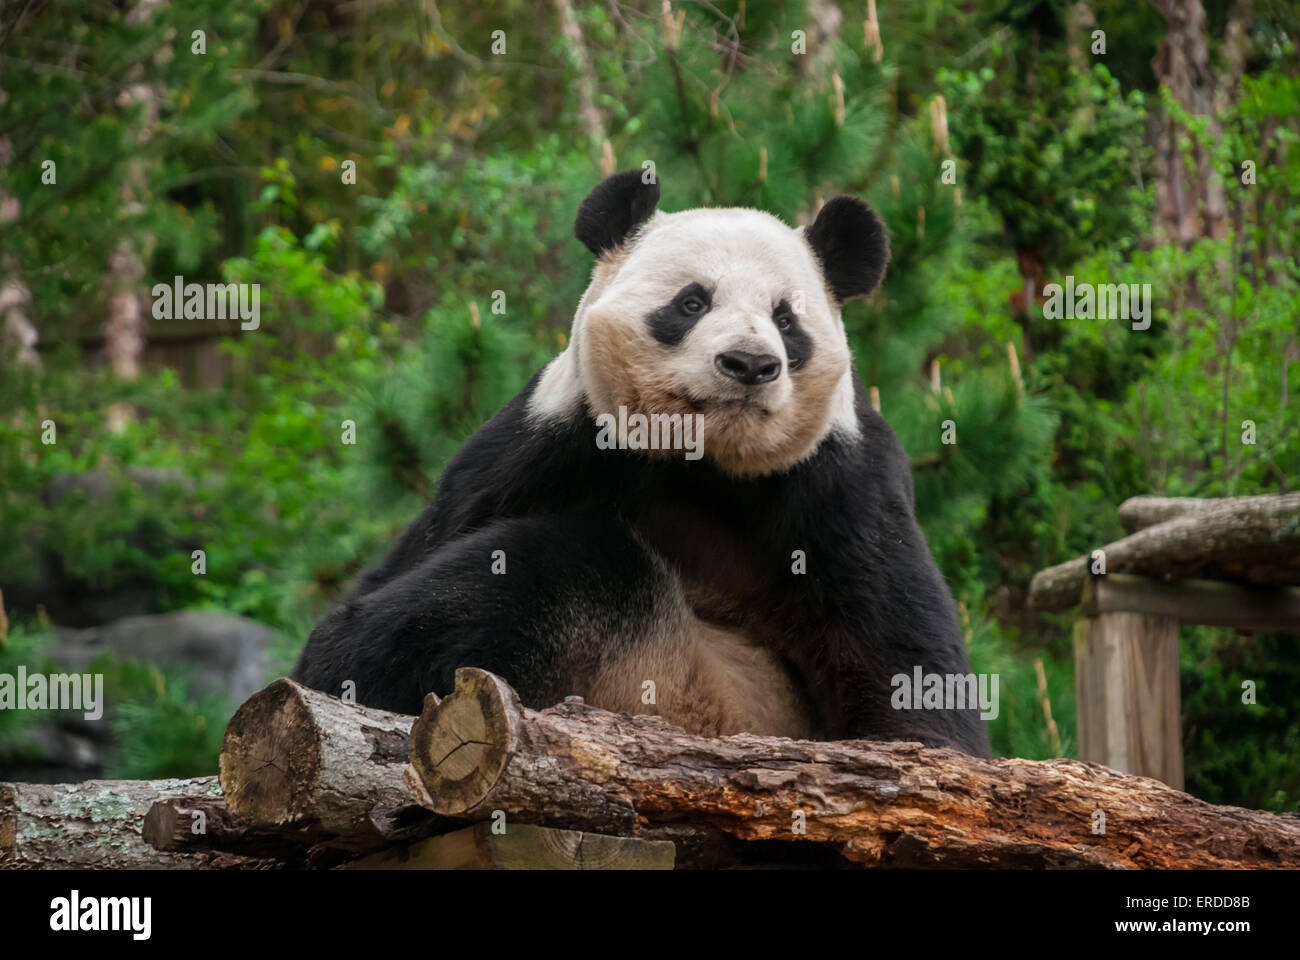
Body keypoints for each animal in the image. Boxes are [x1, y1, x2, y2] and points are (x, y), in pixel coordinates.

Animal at [292, 169, 990, 757]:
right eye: (692, 302)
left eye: (786, 319)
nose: (749, 365)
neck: (702, 462)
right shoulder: (541, 446)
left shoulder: (842, 486)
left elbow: (912, 675)